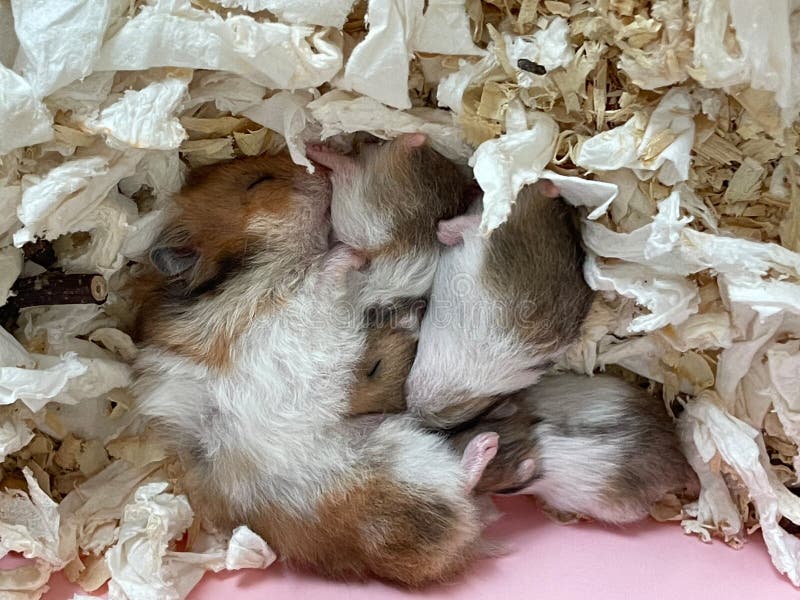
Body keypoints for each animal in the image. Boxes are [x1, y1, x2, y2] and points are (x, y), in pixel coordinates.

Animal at [131, 153, 495, 586]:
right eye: (259, 182)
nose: (315, 170)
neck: (262, 266)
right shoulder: (289, 312)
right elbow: (322, 280)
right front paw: (346, 252)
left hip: (397, 461)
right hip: (404, 478)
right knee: (459, 494)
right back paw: (487, 444)